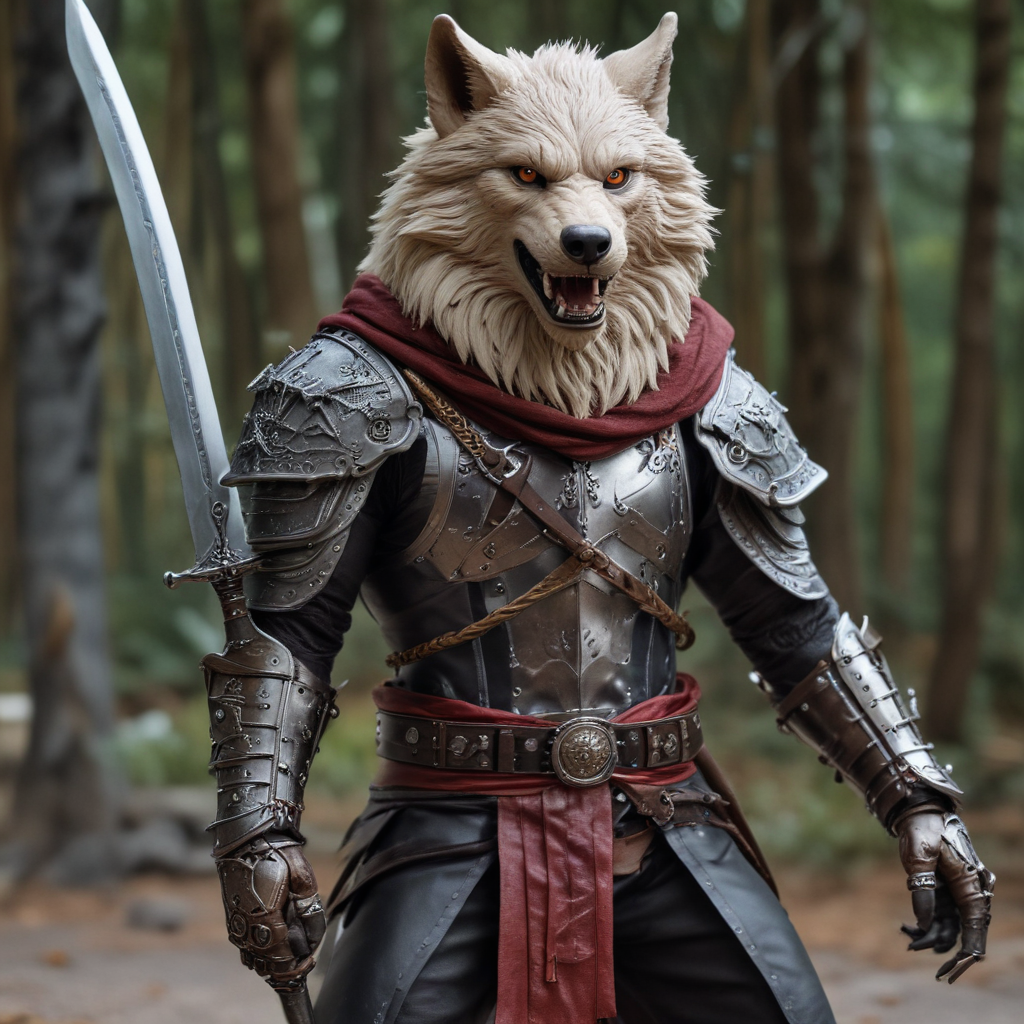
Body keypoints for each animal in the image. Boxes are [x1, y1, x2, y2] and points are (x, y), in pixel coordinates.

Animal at [210, 12, 991, 1024]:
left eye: (620, 177)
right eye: (524, 174)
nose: (588, 242)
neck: (563, 384)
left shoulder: (740, 428)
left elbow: (800, 630)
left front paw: (935, 839)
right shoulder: (330, 428)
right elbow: (287, 645)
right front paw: (266, 885)